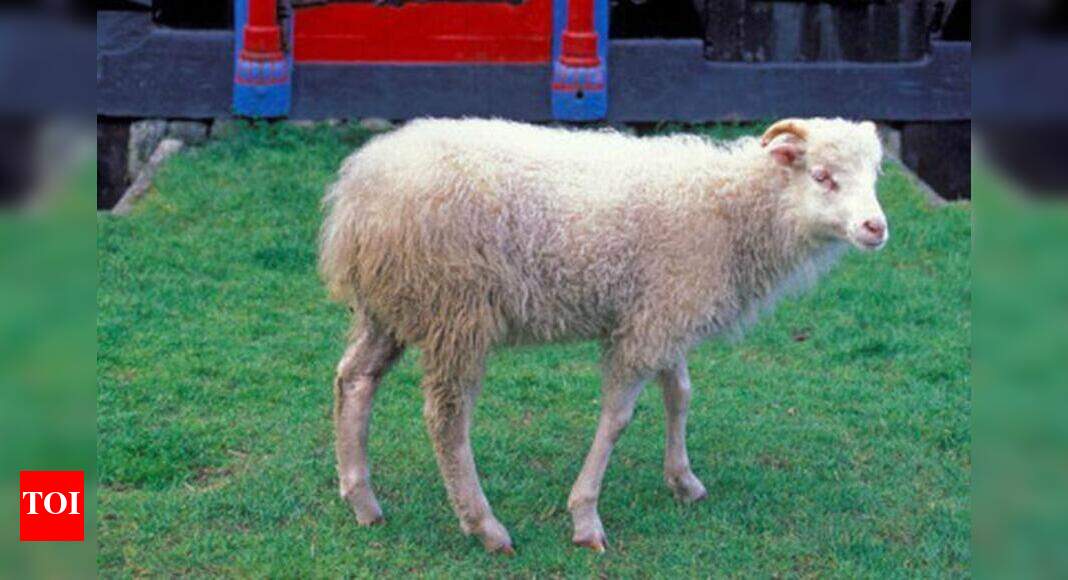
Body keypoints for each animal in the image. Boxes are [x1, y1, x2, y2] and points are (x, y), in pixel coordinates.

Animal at [319, 117, 888, 554]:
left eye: (874, 176)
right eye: (822, 176)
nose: (876, 227)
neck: (730, 207)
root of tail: (359, 186)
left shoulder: (661, 313)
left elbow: (680, 395)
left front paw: (683, 481)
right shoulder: (648, 326)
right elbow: (616, 419)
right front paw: (585, 517)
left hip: (389, 306)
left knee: (354, 380)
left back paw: (362, 499)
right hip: (453, 310)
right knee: (446, 421)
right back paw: (485, 526)